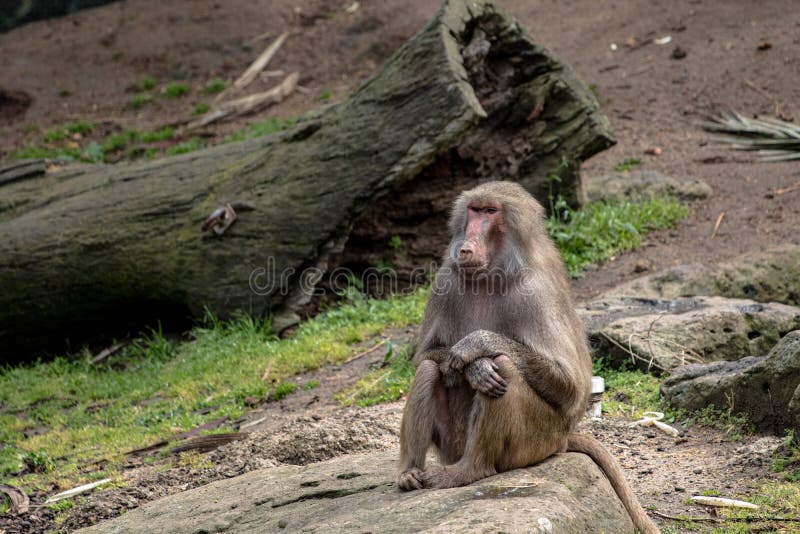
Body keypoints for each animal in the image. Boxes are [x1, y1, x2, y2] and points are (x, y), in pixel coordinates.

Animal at [397, 181, 659, 534]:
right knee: (429, 368)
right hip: (452, 444)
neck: (491, 275)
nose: (465, 249)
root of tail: (563, 441)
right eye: (473, 210)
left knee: (505, 366)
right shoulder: (445, 281)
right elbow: (425, 355)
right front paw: (471, 365)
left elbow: (571, 387)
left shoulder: (535, 294)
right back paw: (410, 473)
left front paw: (477, 350)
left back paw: (471, 470)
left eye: (490, 212)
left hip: (538, 442)